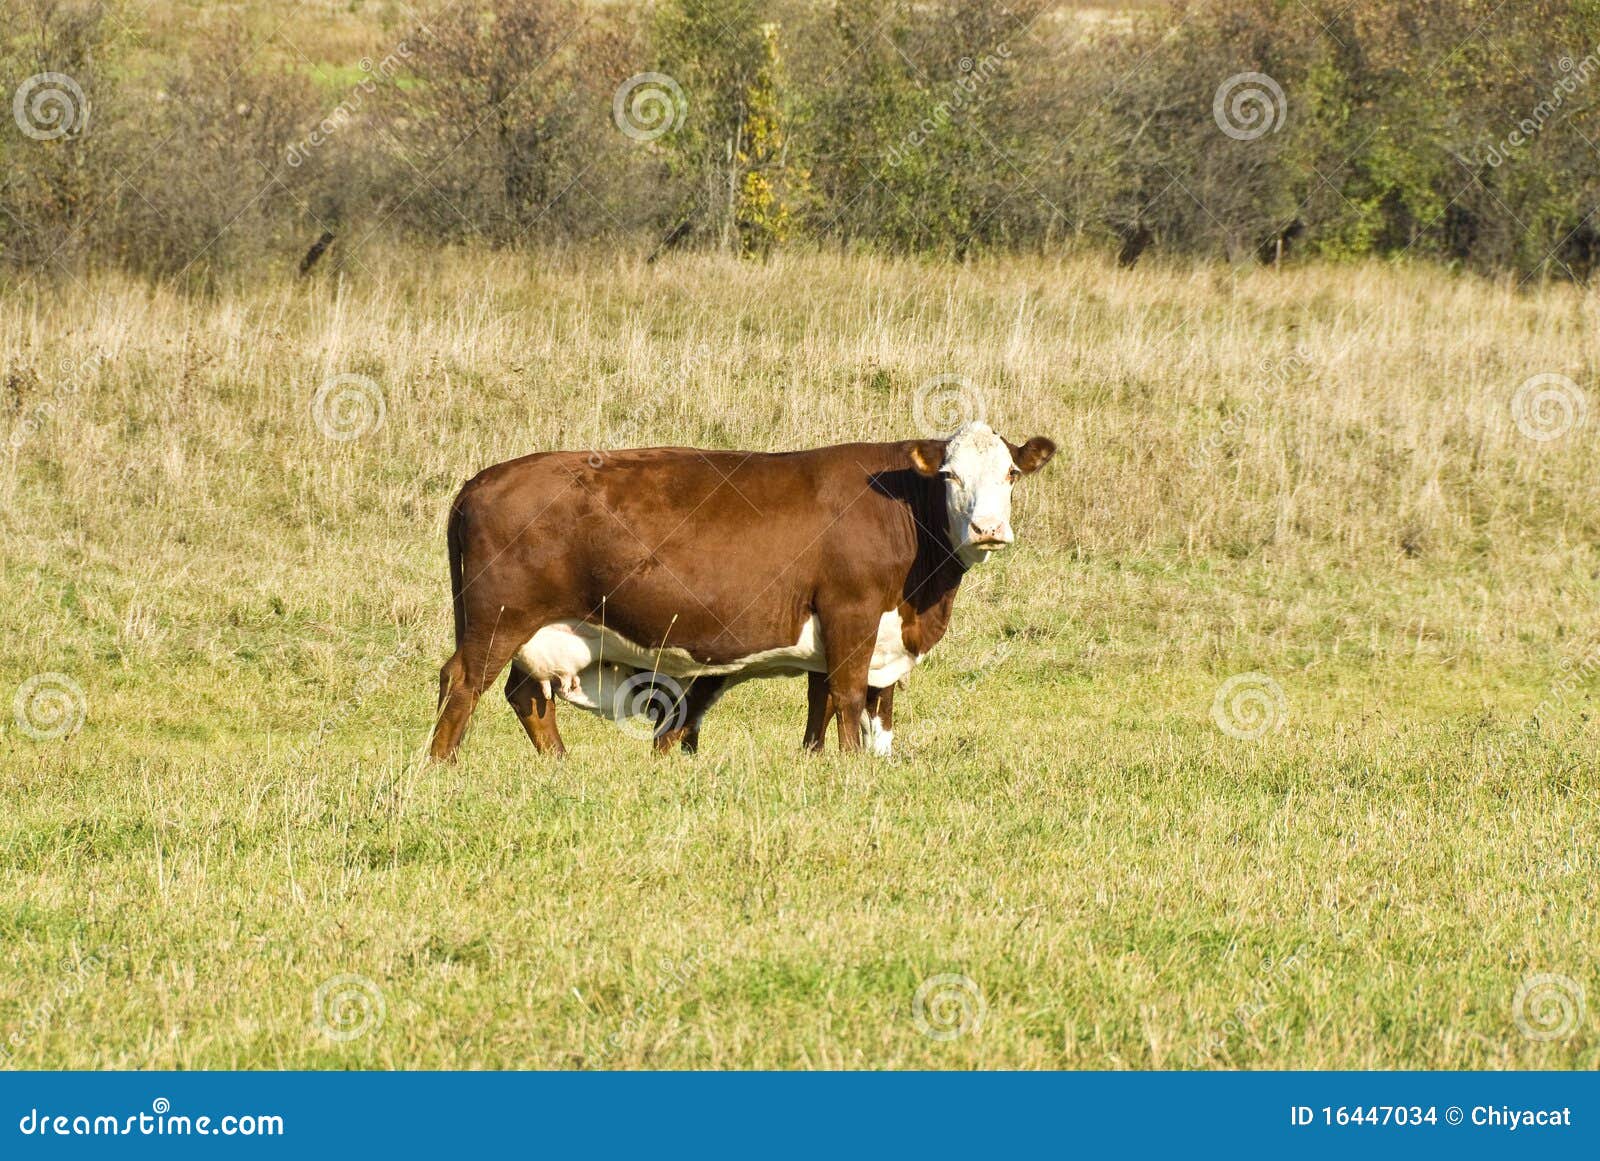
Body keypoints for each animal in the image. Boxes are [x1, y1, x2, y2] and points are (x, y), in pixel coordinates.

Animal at [427, 421, 1055, 761]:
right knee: (463, 683)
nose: (988, 529)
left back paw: (560, 766)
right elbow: (851, 697)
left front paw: (829, 761)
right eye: (949, 475)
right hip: (497, 619)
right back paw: (441, 769)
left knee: (526, 697)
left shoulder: (869, 635)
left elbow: (845, 704)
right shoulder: (851, 612)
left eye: (1011, 474)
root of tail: (480, 480)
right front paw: (851, 767)